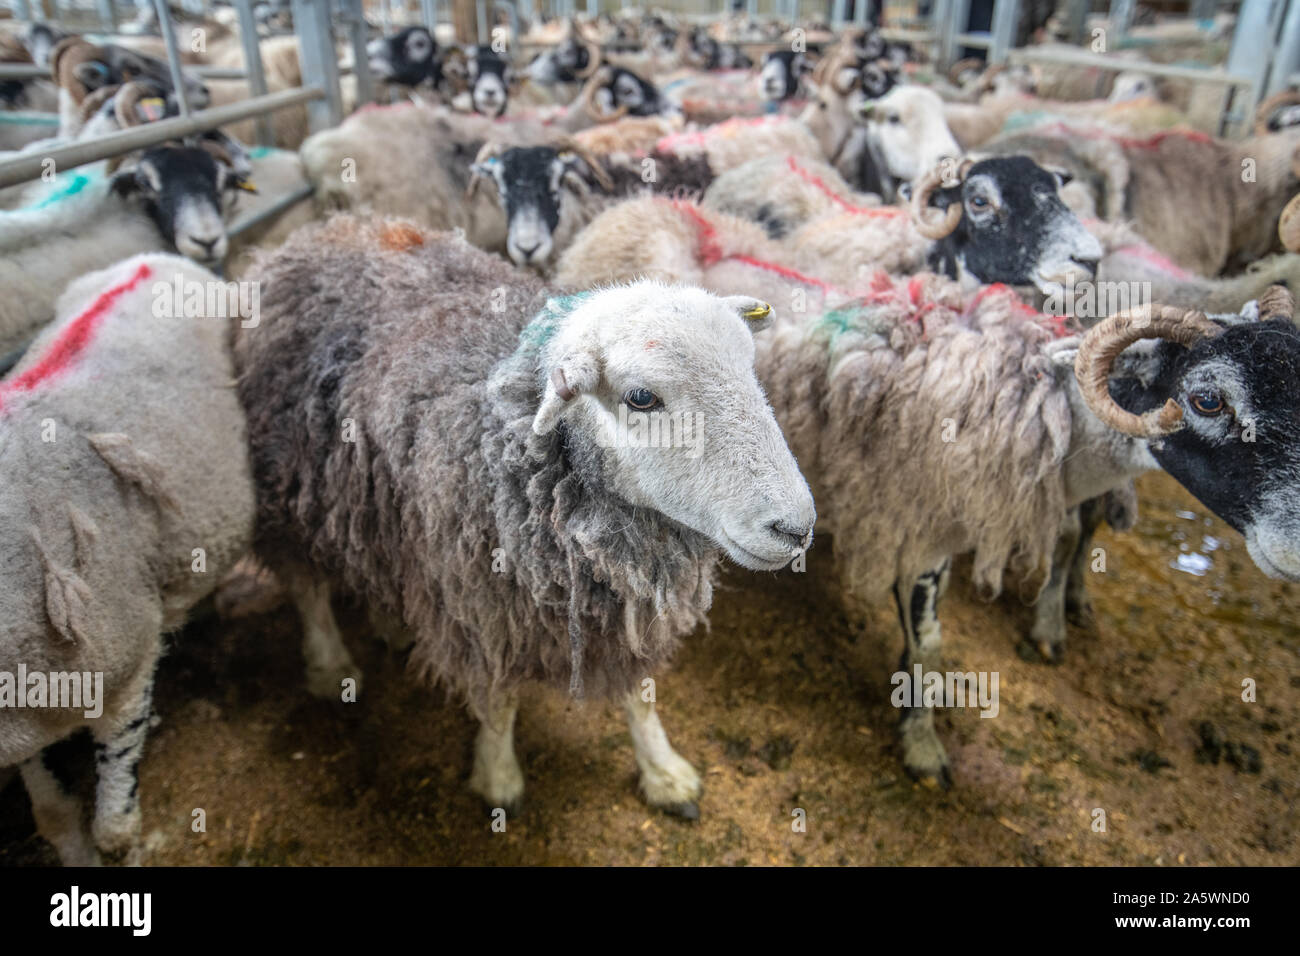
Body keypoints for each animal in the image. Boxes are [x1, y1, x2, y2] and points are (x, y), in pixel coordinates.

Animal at [234, 215, 815, 816]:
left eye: (751, 369)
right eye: (641, 397)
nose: (795, 529)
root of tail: (320, 229)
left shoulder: (619, 604)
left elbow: (641, 697)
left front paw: (663, 770)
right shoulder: (483, 598)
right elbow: (500, 696)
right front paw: (498, 775)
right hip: (288, 477)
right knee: (304, 582)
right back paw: (330, 664)